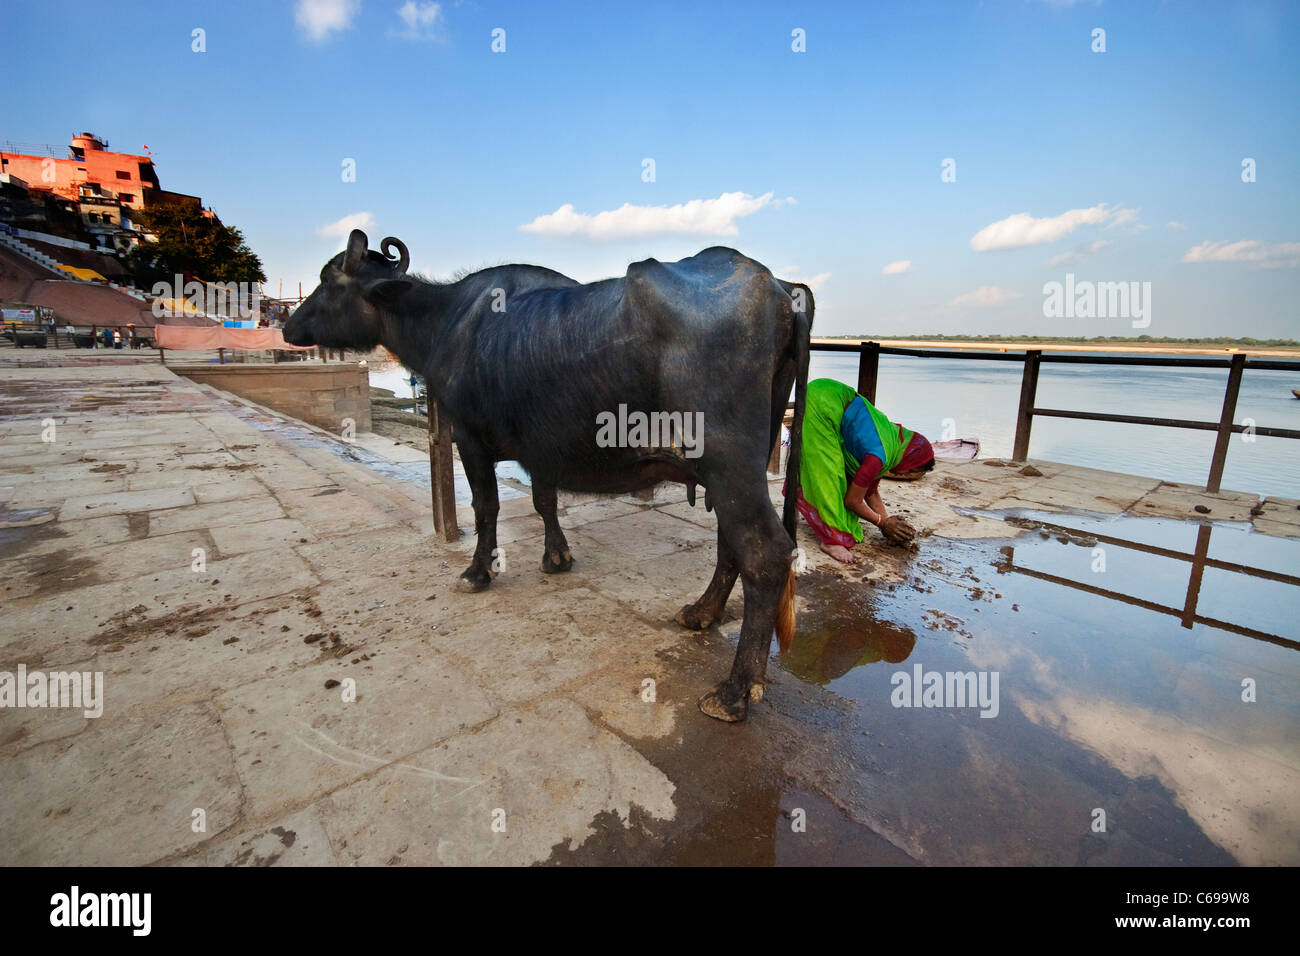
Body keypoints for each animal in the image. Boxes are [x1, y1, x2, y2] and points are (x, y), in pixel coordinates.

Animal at [283, 230, 811, 722]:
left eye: (329, 279)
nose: (288, 326)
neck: (447, 322)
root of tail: (779, 288)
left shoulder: (469, 439)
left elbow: (487, 507)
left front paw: (477, 571)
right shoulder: (540, 448)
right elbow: (544, 500)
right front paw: (557, 557)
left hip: (727, 463)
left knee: (765, 552)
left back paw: (734, 691)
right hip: (742, 463)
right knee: (732, 542)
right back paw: (702, 613)